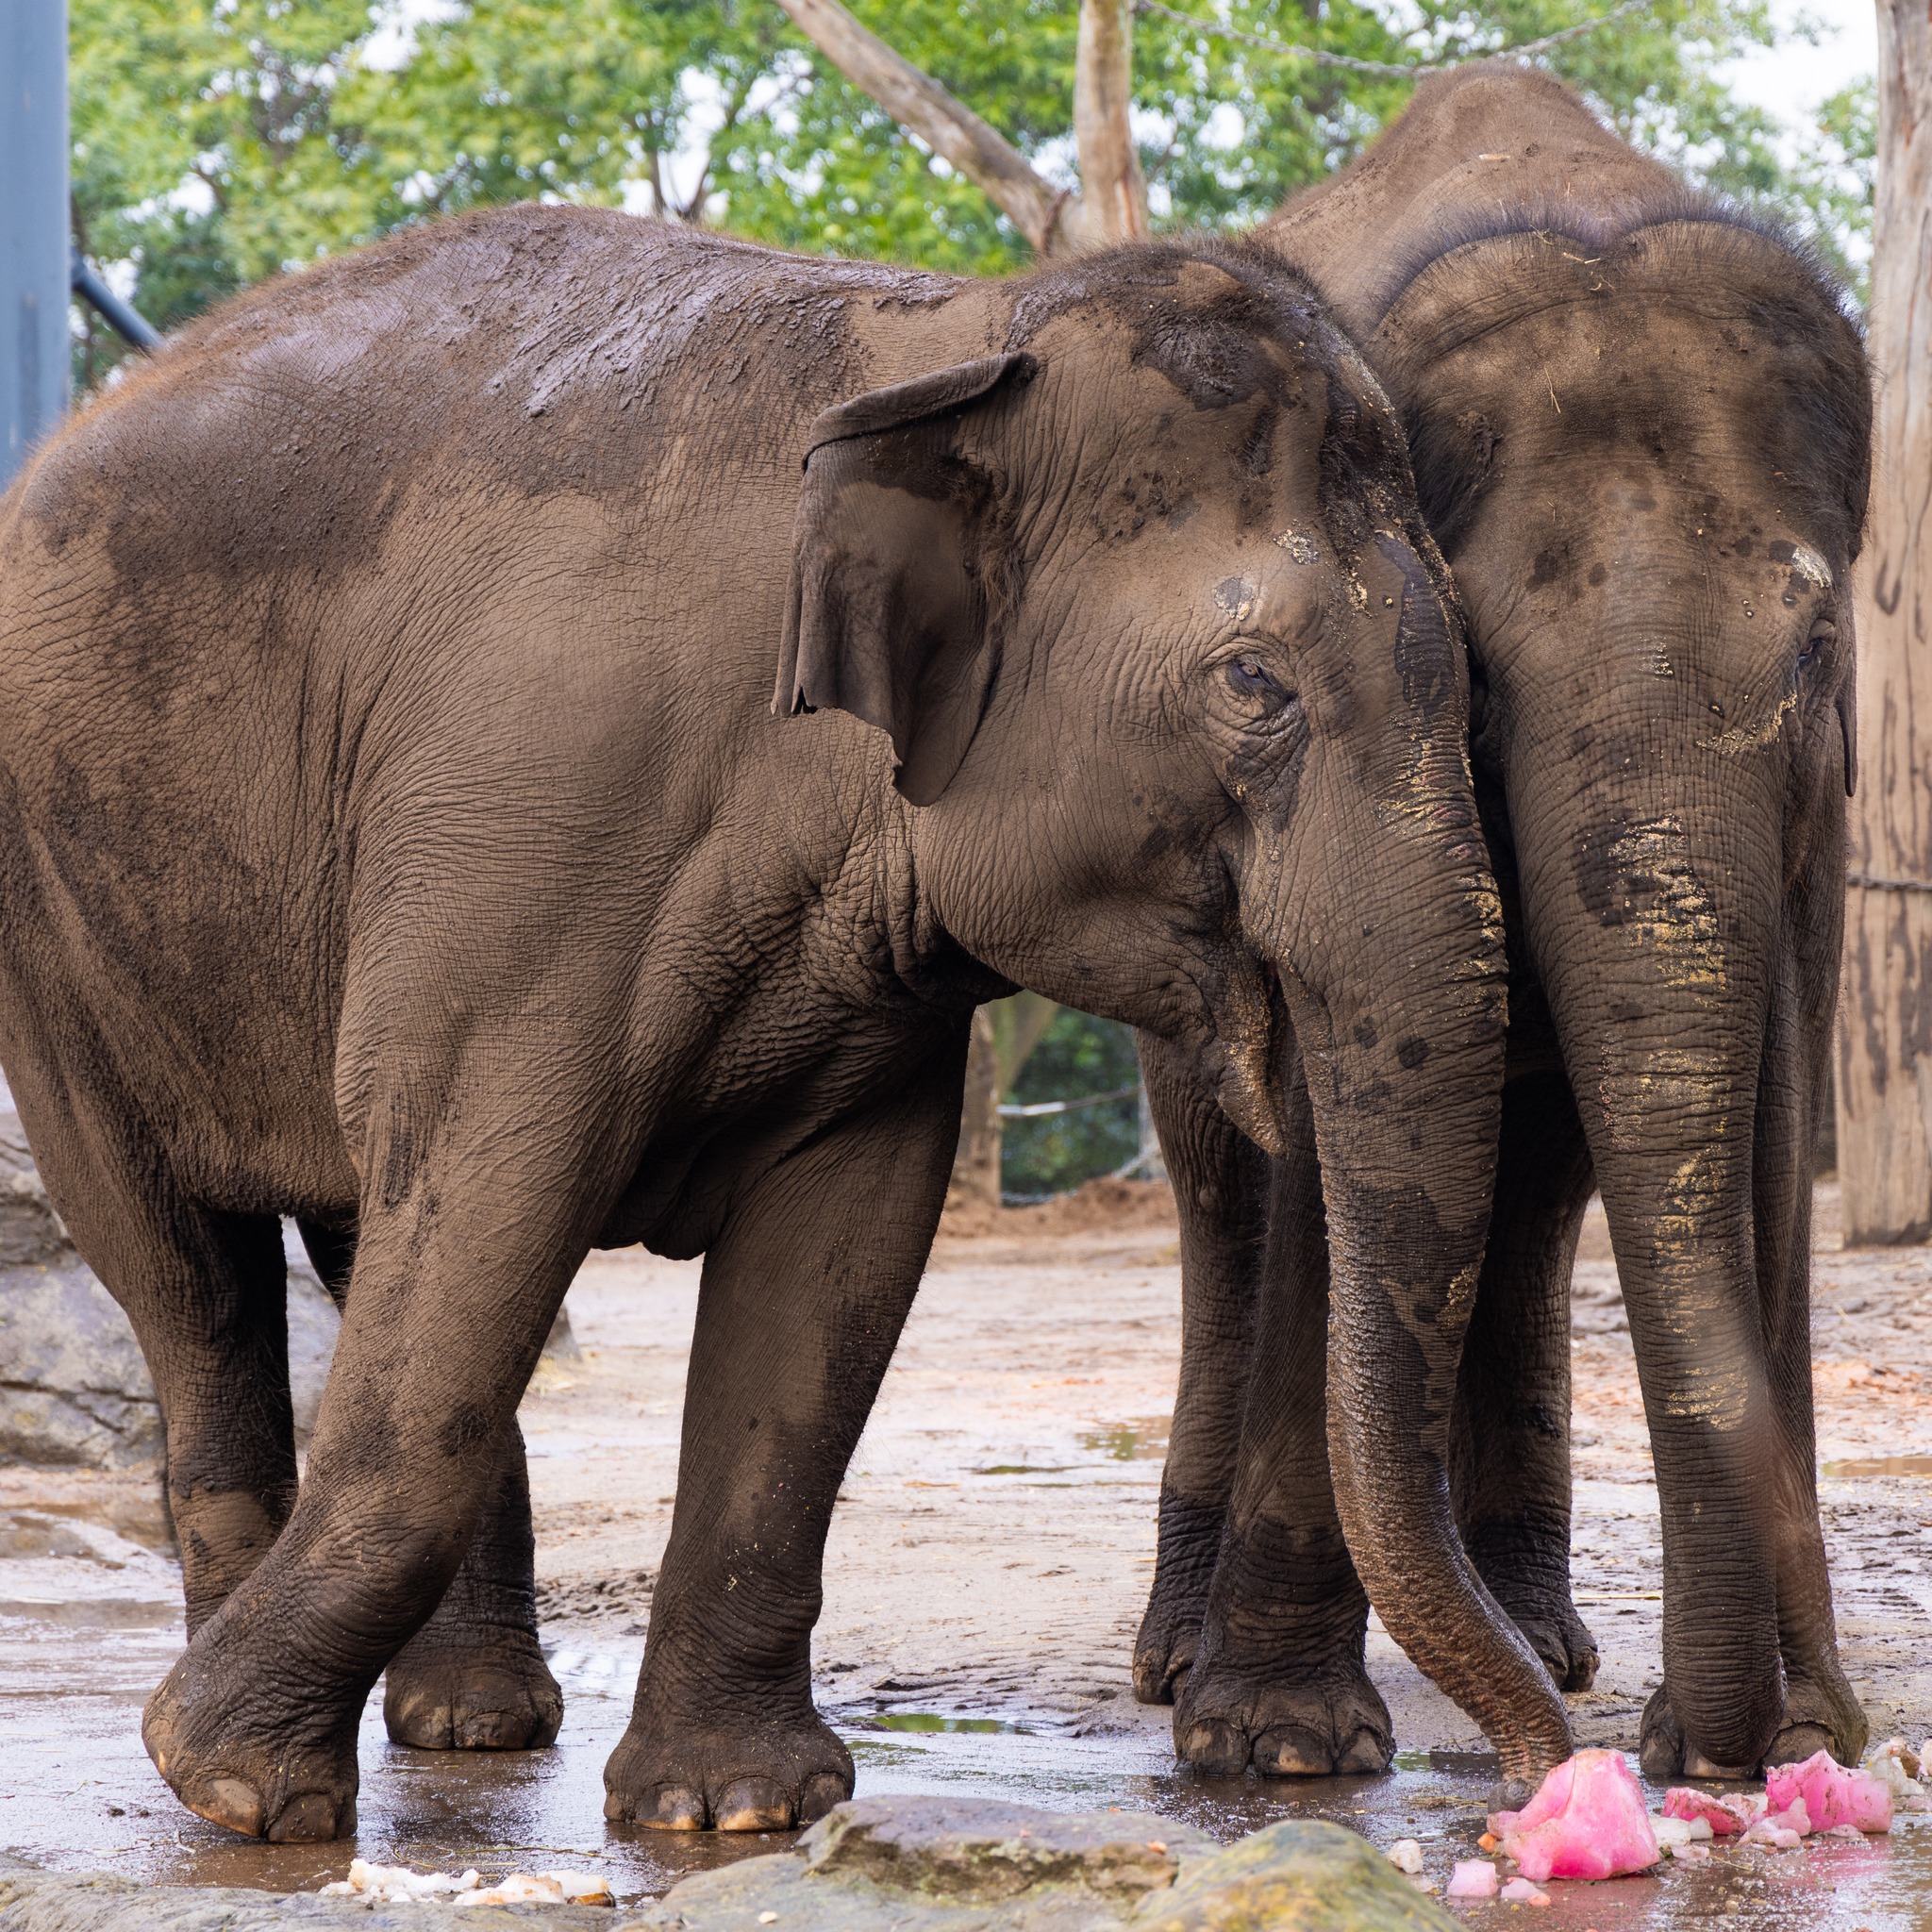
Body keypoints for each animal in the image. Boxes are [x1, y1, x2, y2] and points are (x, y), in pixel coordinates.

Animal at [0, 212, 1512, 1840]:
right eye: (1254, 684)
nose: (1540, 1764)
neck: (956, 341)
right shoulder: (530, 824)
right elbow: (488, 1197)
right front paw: (221, 1776)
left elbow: (834, 1259)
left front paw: (729, 1808)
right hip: (56, 936)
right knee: (192, 1279)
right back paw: (245, 1752)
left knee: (358, 1228)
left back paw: (470, 1726)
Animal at [1130, 64, 1870, 1790]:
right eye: (1470, 672)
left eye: (1815, 649)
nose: (1725, 1756)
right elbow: (1328, 1159)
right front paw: (1276, 1745)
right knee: (1225, 1193)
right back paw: (1178, 1659)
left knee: (1531, 1194)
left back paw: (1538, 1639)